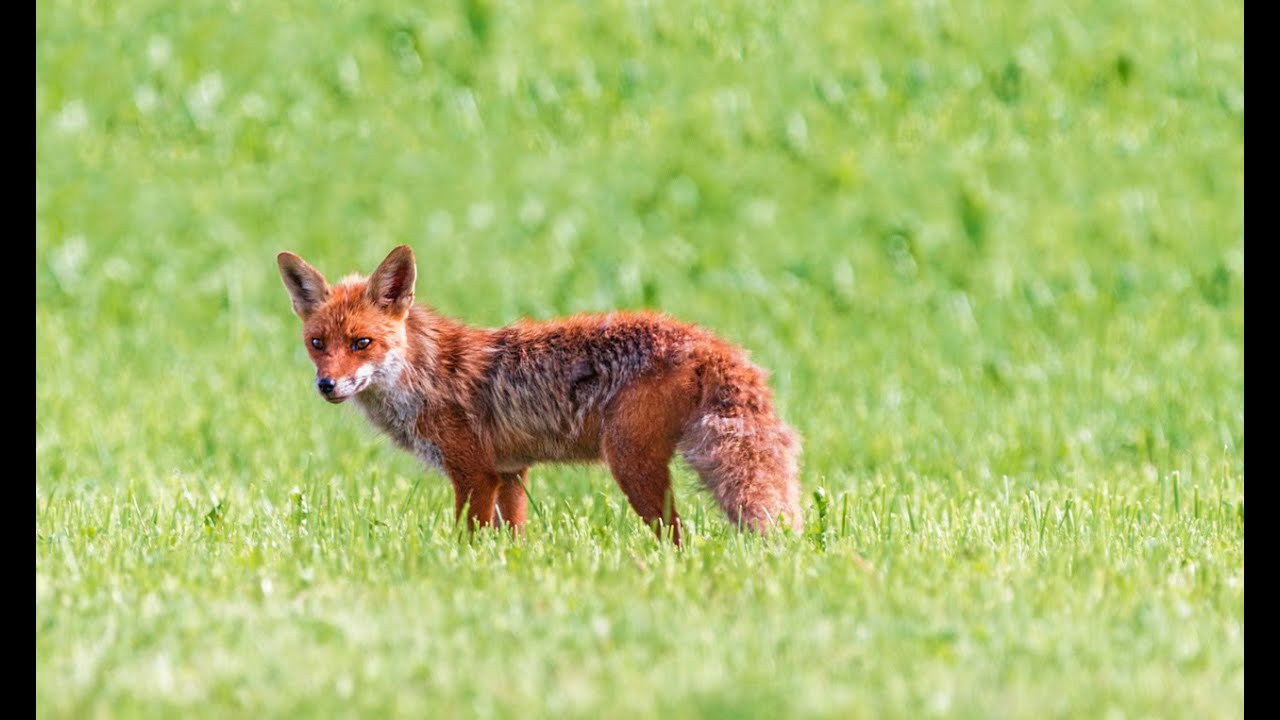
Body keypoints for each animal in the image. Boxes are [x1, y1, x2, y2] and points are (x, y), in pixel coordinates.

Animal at [277, 245, 801, 545]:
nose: (327, 385)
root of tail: (704, 340)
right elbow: (513, 539)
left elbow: (468, 540)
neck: (423, 376)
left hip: (630, 462)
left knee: (679, 540)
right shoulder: (510, 473)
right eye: (318, 344)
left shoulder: (474, 474)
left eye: (361, 343)